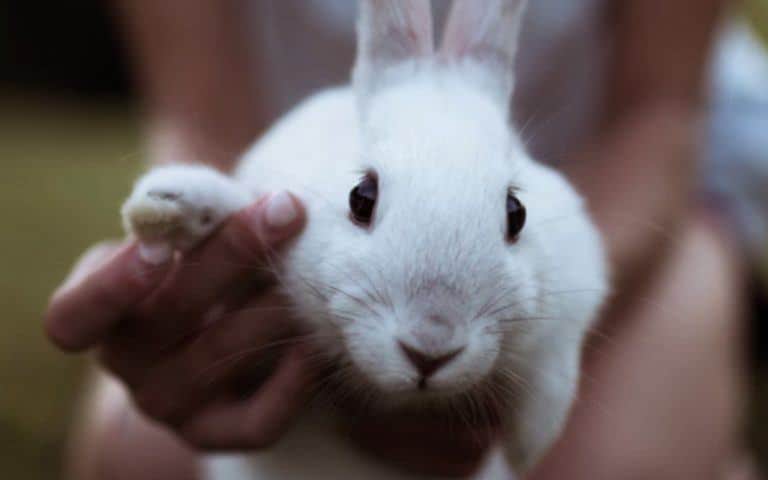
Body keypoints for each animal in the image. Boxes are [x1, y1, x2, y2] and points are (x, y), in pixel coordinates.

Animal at [120, 0, 609, 478]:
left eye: (516, 212)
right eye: (361, 197)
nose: (430, 348)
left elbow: (554, 367)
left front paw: (531, 442)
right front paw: (167, 206)